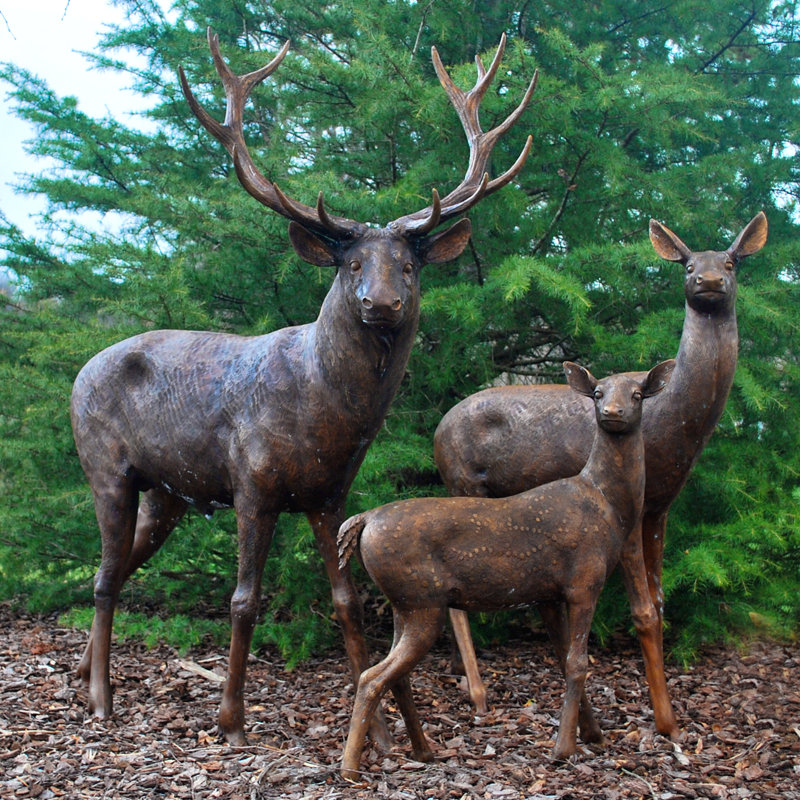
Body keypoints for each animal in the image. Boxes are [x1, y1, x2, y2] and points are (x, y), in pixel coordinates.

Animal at [70, 28, 537, 747]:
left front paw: (380, 735)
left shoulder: (327, 495)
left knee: (117, 569)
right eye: (351, 263)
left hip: (169, 492)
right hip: (104, 466)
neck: (325, 417)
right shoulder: (251, 484)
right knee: (100, 576)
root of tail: (79, 371)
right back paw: (98, 698)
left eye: (408, 265)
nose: (381, 302)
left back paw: (89, 679)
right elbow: (243, 600)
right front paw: (231, 719)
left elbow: (345, 602)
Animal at [337, 359, 676, 779]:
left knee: (395, 676)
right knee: (372, 677)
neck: (606, 503)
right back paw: (350, 768)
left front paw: (593, 734)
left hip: (404, 599)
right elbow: (578, 663)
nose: (612, 412)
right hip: (420, 600)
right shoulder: (584, 579)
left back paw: (423, 751)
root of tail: (364, 519)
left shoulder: (550, 592)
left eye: (637, 394)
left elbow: (564, 658)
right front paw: (564, 749)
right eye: (598, 393)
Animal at [433, 212, 768, 736]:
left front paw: (664, 707)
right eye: (689, 263)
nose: (709, 281)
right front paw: (665, 721)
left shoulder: (660, 507)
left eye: (732, 261)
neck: (678, 427)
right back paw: (478, 692)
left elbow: (661, 599)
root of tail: (435, 433)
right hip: (466, 483)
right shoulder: (628, 512)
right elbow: (643, 611)